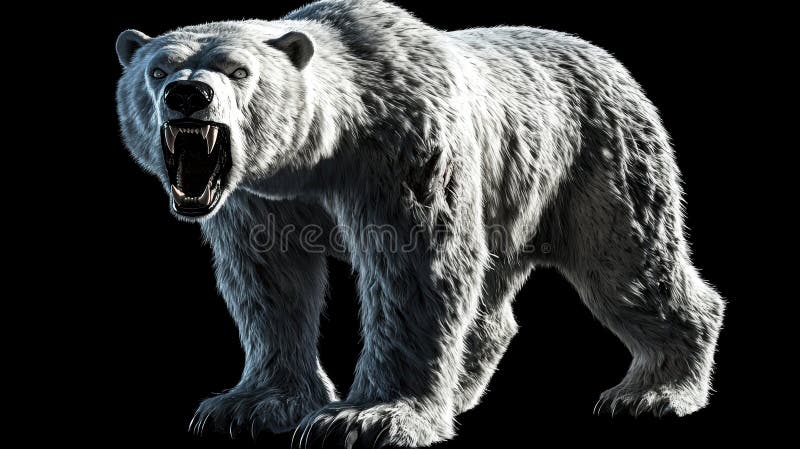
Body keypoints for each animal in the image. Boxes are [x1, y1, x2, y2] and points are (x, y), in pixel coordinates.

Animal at [115, 0, 725, 447]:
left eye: (239, 70)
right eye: (158, 68)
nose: (188, 94)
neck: (318, 153)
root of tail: (608, 59)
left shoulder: (405, 153)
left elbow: (416, 268)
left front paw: (366, 417)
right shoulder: (259, 199)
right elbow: (268, 281)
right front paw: (248, 405)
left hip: (599, 157)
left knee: (627, 263)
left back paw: (653, 392)